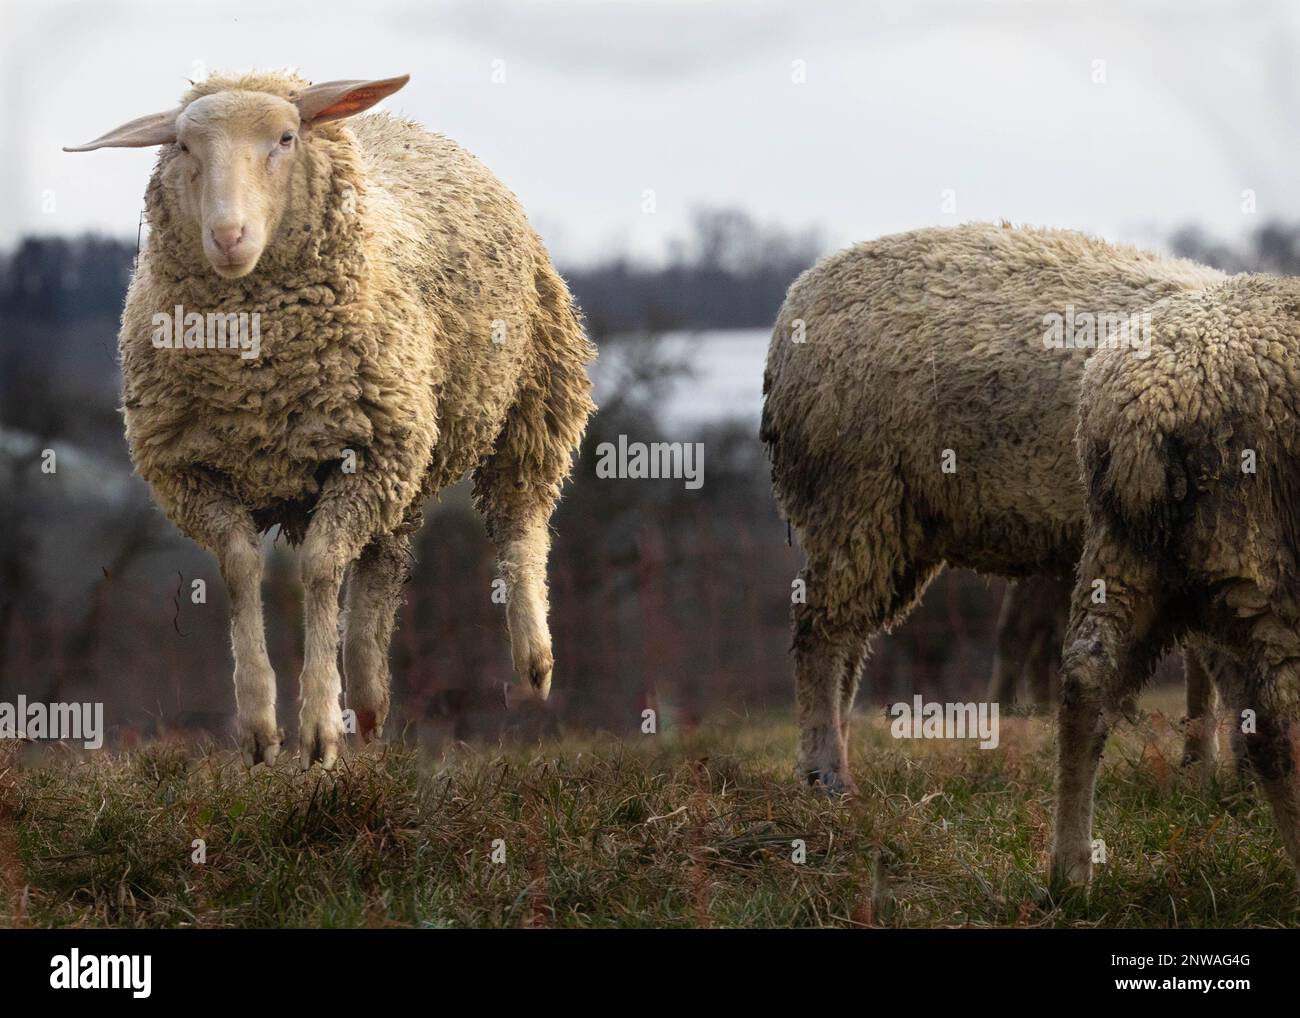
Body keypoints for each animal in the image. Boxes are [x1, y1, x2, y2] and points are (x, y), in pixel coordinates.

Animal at [65, 72, 596, 769]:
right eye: (182, 146)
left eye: (286, 139)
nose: (227, 235)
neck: (258, 380)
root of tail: (393, 119)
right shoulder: (190, 471)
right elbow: (240, 568)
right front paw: (260, 727)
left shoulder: (366, 454)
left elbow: (320, 568)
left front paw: (318, 727)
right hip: (410, 456)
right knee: (383, 565)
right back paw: (369, 700)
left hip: (534, 388)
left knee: (520, 516)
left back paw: (532, 659)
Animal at [761, 222, 1226, 793]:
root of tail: (794, 308)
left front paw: (1202, 761)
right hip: (854, 499)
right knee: (820, 628)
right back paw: (825, 771)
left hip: (894, 524)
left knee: (851, 638)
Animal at [1052, 274, 1300, 885]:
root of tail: (1148, 406)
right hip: (1251, 548)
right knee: (1277, 719)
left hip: (1119, 561)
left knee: (1084, 681)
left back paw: (1069, 874)